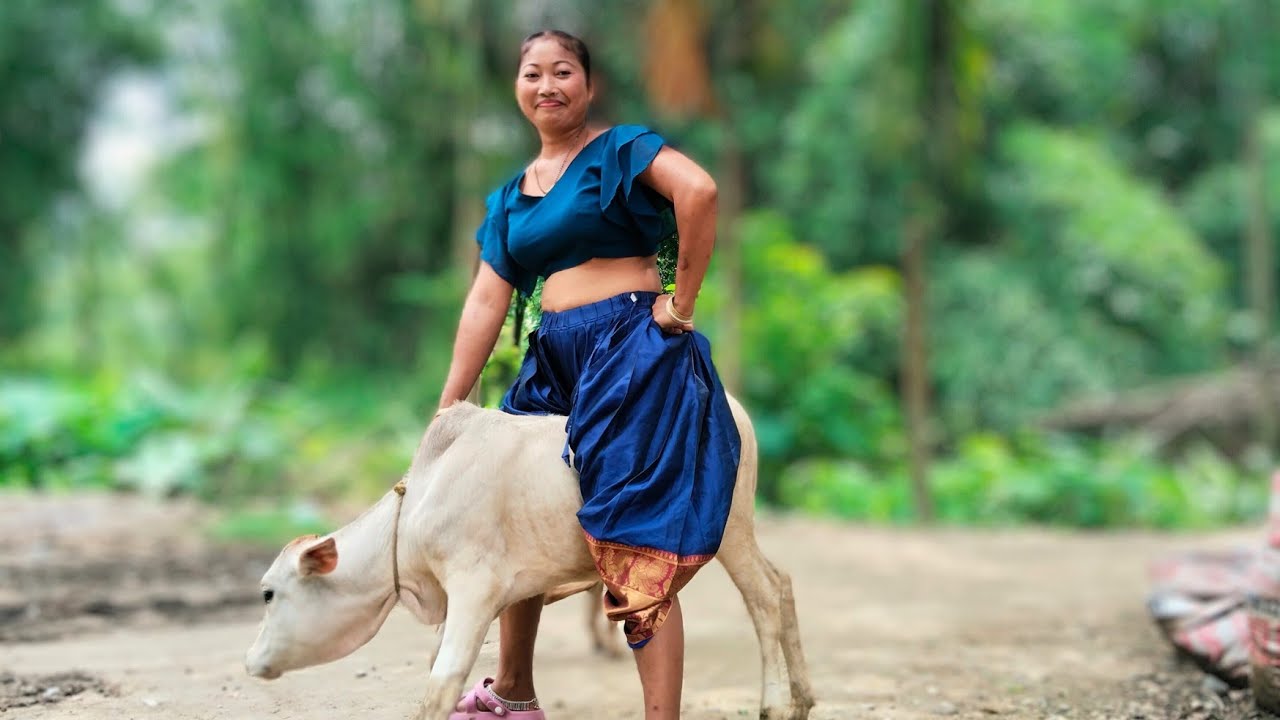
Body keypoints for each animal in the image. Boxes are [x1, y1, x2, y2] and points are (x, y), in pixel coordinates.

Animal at [244, 397, 814, 720]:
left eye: (269, 593)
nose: (249, 660)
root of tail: (736, 409)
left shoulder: (473, 589)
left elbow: (440, 684)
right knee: (783, 583)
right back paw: (802, 701)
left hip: (729, 532)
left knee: (764, 596)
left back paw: (773, 706)